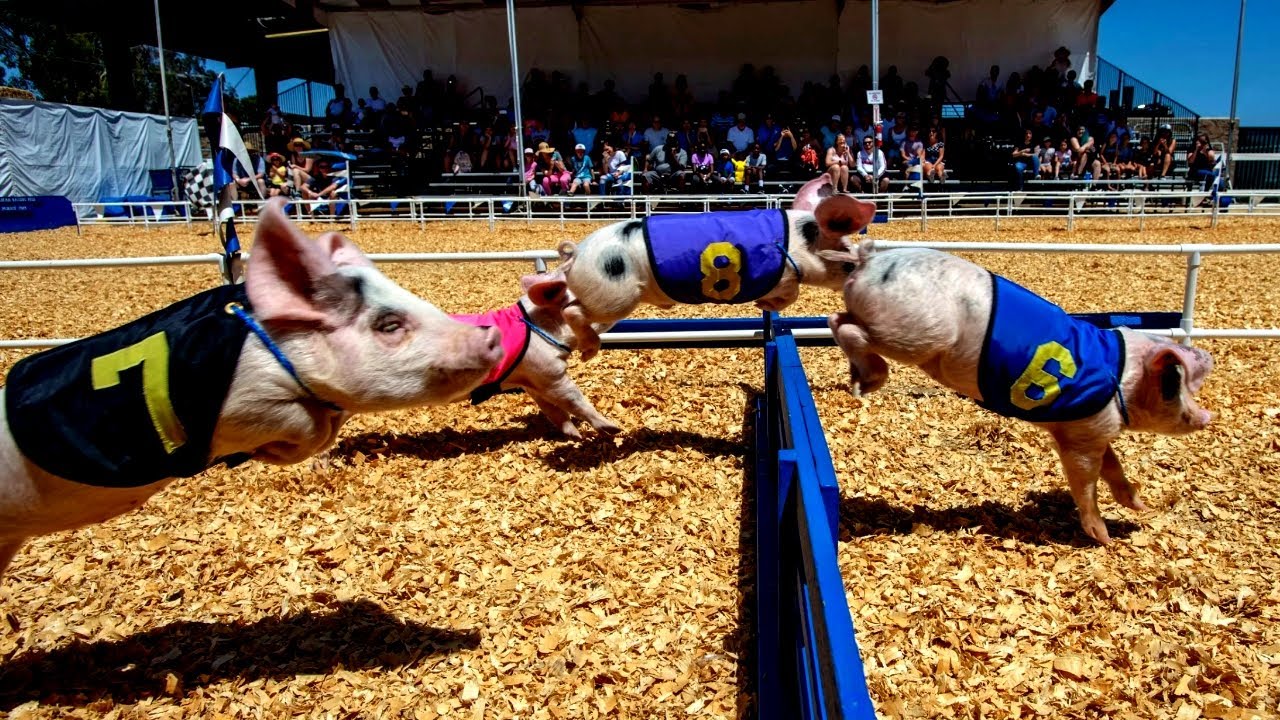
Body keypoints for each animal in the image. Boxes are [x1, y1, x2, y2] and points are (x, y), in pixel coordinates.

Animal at [449, 271, 620, 438]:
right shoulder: (549, 374)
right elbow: (575, 401)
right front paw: (614, 428)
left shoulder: (532, 380)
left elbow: (552, 409)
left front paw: (574, 435)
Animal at [557, 175, 875, 360]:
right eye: (848, 265)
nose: (856, 282)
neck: (795, 240)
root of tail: (577, 254)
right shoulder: (784, 275)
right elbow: (789, 296)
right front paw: (763, 303)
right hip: (614, 298)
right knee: (571, 311)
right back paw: (588, 352)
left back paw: (582, 351)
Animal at [824, 241, 1214, 545]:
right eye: (1174, 385)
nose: (1206, 417)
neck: (1121, 377)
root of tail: (868, 260)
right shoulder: (1083, 433)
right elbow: (1086, 480)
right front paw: (1103, 538)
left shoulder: (1088, 428)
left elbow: (1113, 466)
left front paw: (1139, 505)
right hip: (915, 335)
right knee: (847, 328)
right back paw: (872, 381)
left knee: (836, 320)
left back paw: (860, 381)